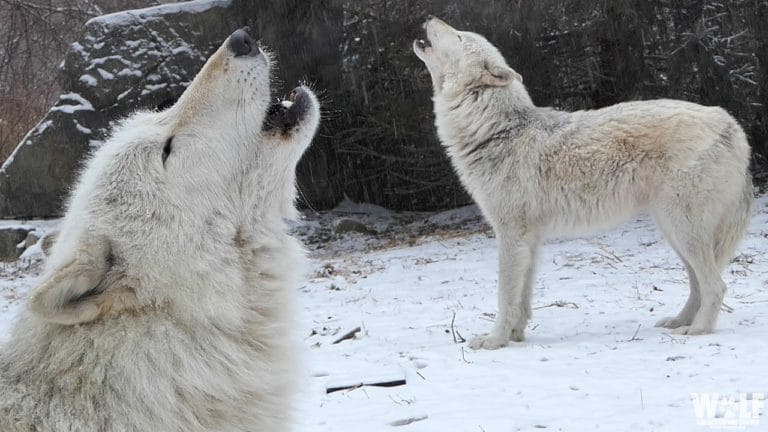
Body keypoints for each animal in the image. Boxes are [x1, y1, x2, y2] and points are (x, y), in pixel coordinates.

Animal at [414, 17, 753, 350]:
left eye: (459, 36)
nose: (429, 17)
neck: (495, 130)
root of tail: (731, 123)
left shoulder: (509, 234)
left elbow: (505, 296)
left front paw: (495, 340)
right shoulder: (530, 240)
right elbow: (522, 299)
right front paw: (516, 336)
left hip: (683, 230)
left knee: (716, 286)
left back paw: (698, 331)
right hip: (675, 233)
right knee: (698, 285)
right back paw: (679, 321)